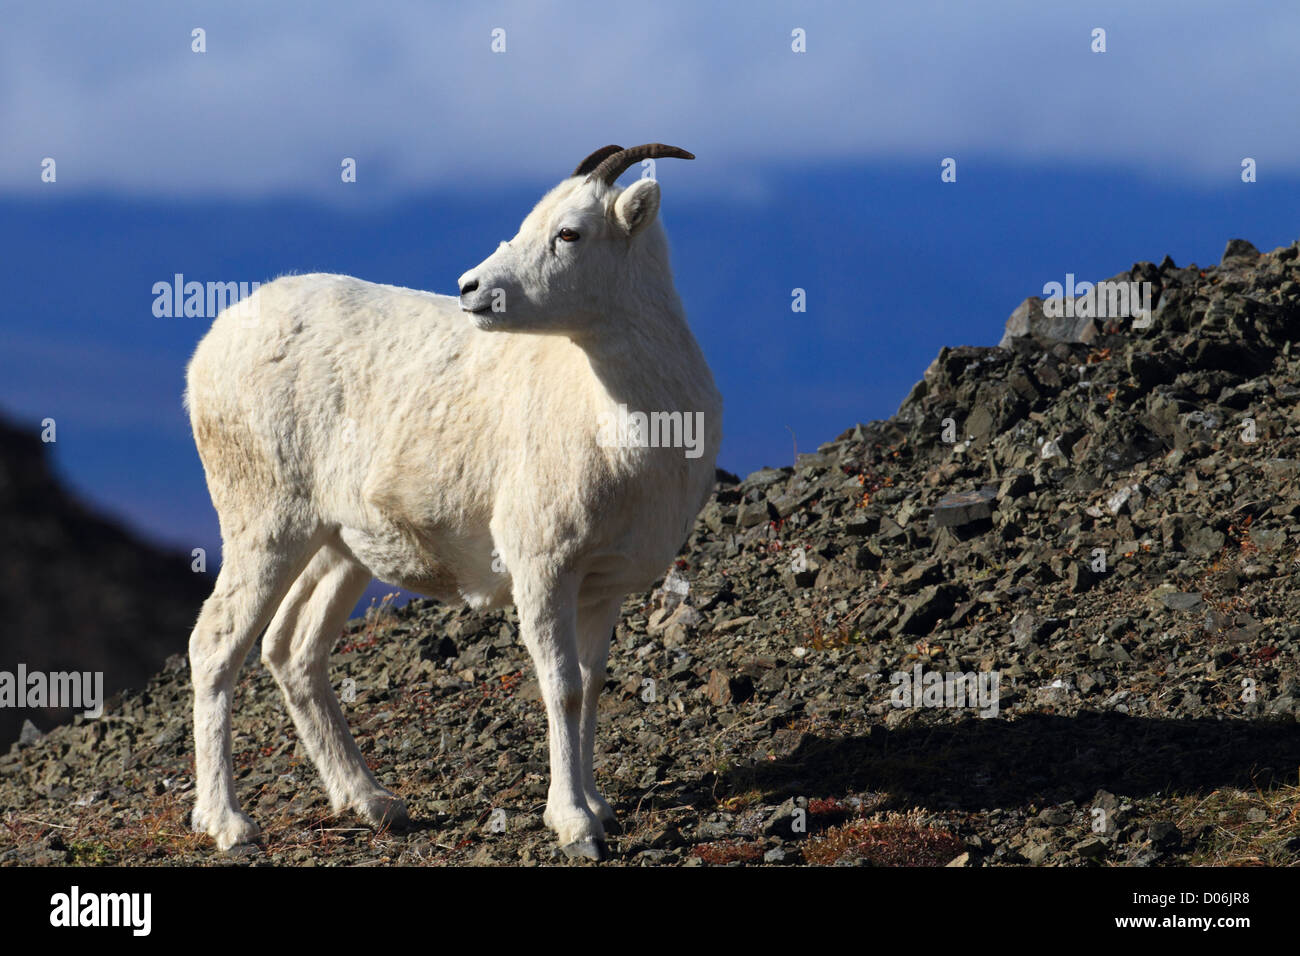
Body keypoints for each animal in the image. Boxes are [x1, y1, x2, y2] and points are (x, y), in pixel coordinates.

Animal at [184, 144, 722, 860]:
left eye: (569, 232)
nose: (471, 289)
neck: (628, 423)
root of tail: (208, 350)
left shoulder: (600, 587)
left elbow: (591, 687)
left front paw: (600, 809)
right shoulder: (542, 570)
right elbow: (561, 689)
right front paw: (574, 826)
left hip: (338, 549)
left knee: (292, 650)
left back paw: (374, 803)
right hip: (264, 531)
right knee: (216, 645)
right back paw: (229, 825)